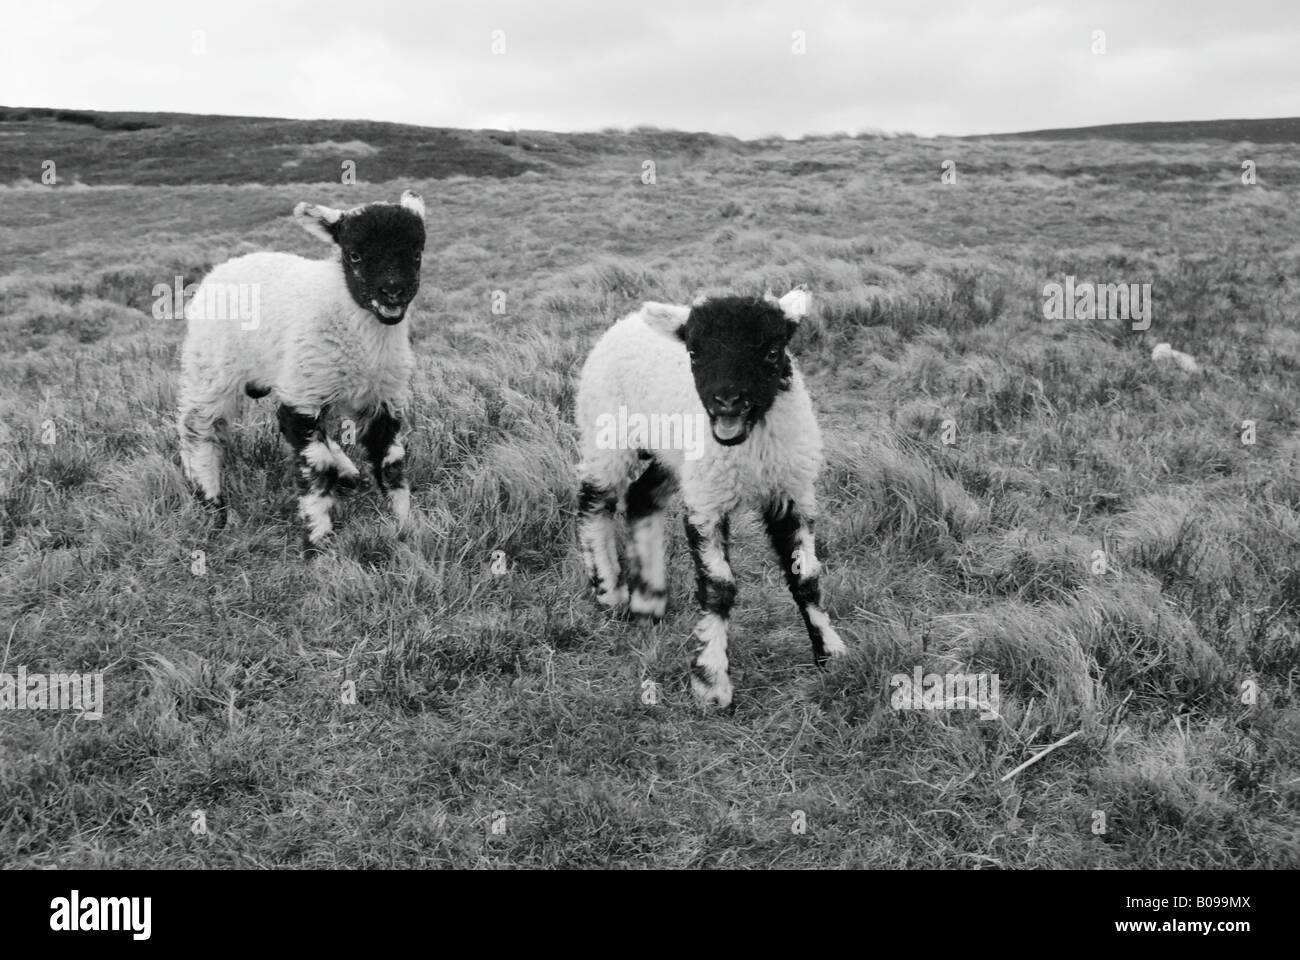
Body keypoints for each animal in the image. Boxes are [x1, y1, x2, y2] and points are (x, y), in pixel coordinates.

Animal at [177, 190, 427, 551]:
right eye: (354, 255)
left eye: (417, 253)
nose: (393, 292)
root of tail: (222, 267)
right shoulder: (304, 399)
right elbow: (316, 467)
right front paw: (318, 540)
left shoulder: (383, 397)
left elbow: (391, 463)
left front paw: (405, 526)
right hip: (212, 365)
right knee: (197, 427)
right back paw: (212, 502)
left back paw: (347, 471)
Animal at [575, 286, 846, 708]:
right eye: (693, 353)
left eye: (772, 352)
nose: (726, 401)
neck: (749, 453)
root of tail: (626, 321)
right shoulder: (707, 502)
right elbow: (719, 588)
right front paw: (711, 680)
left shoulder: (792, 493)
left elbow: (806, 578)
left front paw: (830, 654)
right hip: (606, 432)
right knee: (594, 503)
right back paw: (610, 590)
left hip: (675, 458)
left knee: (640, 498)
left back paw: (649, 598)